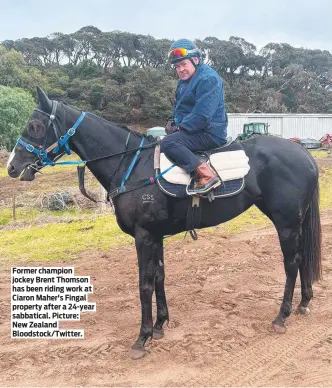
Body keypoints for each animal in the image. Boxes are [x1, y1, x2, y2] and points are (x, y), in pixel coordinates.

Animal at [6, 88, 322, 358]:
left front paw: (142, 337)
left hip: (285, 222)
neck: (132, 165)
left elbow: (144, 284)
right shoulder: (155, 235)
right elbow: (159, 276)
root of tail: (304, 152)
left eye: (34, 126)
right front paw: (159, 325)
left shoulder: (143, 236)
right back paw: (304, 302)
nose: (11, 166)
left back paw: (282, 316)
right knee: (302, 257)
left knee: (292, 262)